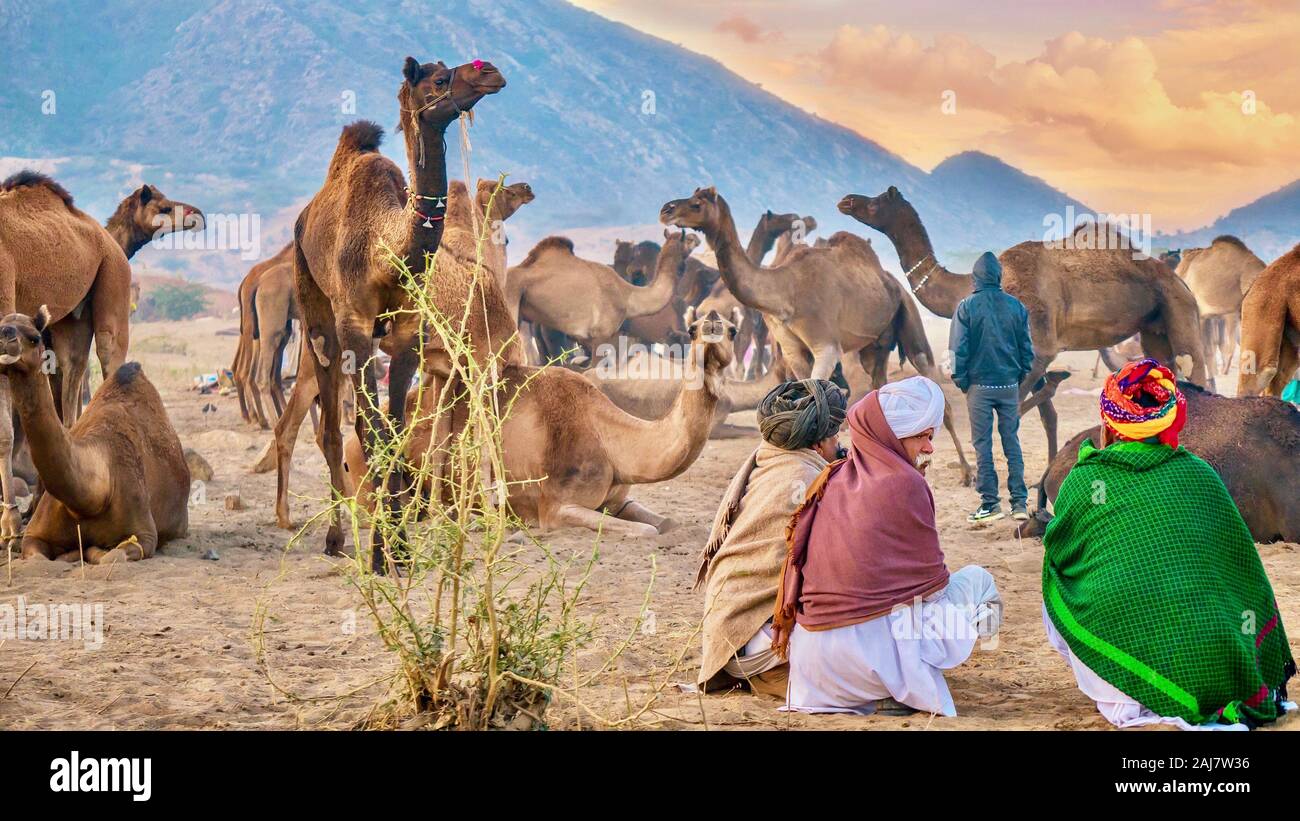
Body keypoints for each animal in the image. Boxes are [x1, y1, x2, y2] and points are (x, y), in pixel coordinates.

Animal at [0, 309, 189, 562]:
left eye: (35, 338)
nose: (4, 335)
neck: (94, 495)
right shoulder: (34, 534)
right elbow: (37, 555)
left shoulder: (144, 535)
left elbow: (110, 556)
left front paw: (83, 551)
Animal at [269, 57, 508, 567]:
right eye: (439, 80)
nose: (490, 72)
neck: (385, 249)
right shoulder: (355, 329)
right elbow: (371, 431)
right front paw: (383, 553)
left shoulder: (407, 336)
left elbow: (395, 432)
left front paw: (398, 549)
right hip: (316, 313)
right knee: (332, 430)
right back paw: (336, 537)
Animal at [348, 307, 740, 536]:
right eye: (692, 329)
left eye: (733, 330)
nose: (712, 323)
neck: (610, 440)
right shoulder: (556, 506)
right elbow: (644, 532)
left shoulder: (619, 500)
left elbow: (664, 523)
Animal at [661, 187, 972, 482]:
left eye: (696, 204)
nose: (666, 209)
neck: (784, 290)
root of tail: (891, 280)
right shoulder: (791, 349)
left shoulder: (826, 345)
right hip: (876, 345)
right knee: (879, 381)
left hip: (908, 316)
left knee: (934, 383)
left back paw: (967, 472)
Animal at [839, 186, 1209, 458]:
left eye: (877, 201)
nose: (847, 200)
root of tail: (1181, 281)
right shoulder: (1032, 352)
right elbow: (1047, 416)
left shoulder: (1040, 346)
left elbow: (1014, 412)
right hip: (1154, 328)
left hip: (1179, 308)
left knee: (1195, 371)